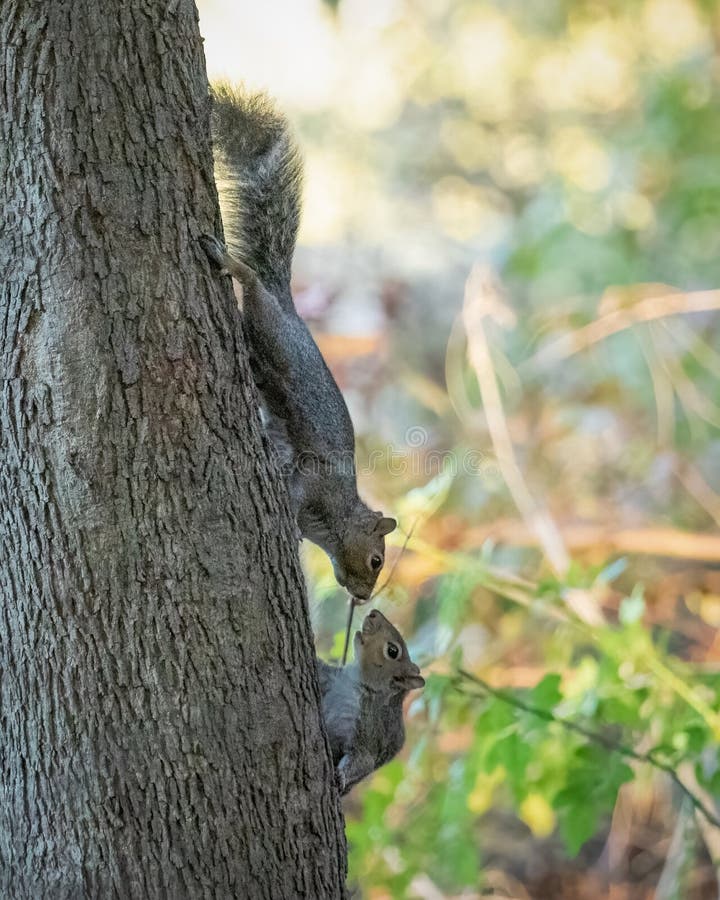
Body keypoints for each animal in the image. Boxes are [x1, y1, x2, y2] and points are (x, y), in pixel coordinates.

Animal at [201, 84, 396, 602]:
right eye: (376, 559)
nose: (363, 598)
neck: (336, 515)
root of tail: (288, 308)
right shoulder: (314, 481)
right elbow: (294, 492)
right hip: (274, 334)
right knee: (251, 288)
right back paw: (231, 265)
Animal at [316, 609, 424, 795]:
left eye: (393, 651)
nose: (374, 612)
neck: (355, 682)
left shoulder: (368, 731)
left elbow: (362, 760)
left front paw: (341, 776)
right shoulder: (331, 678)